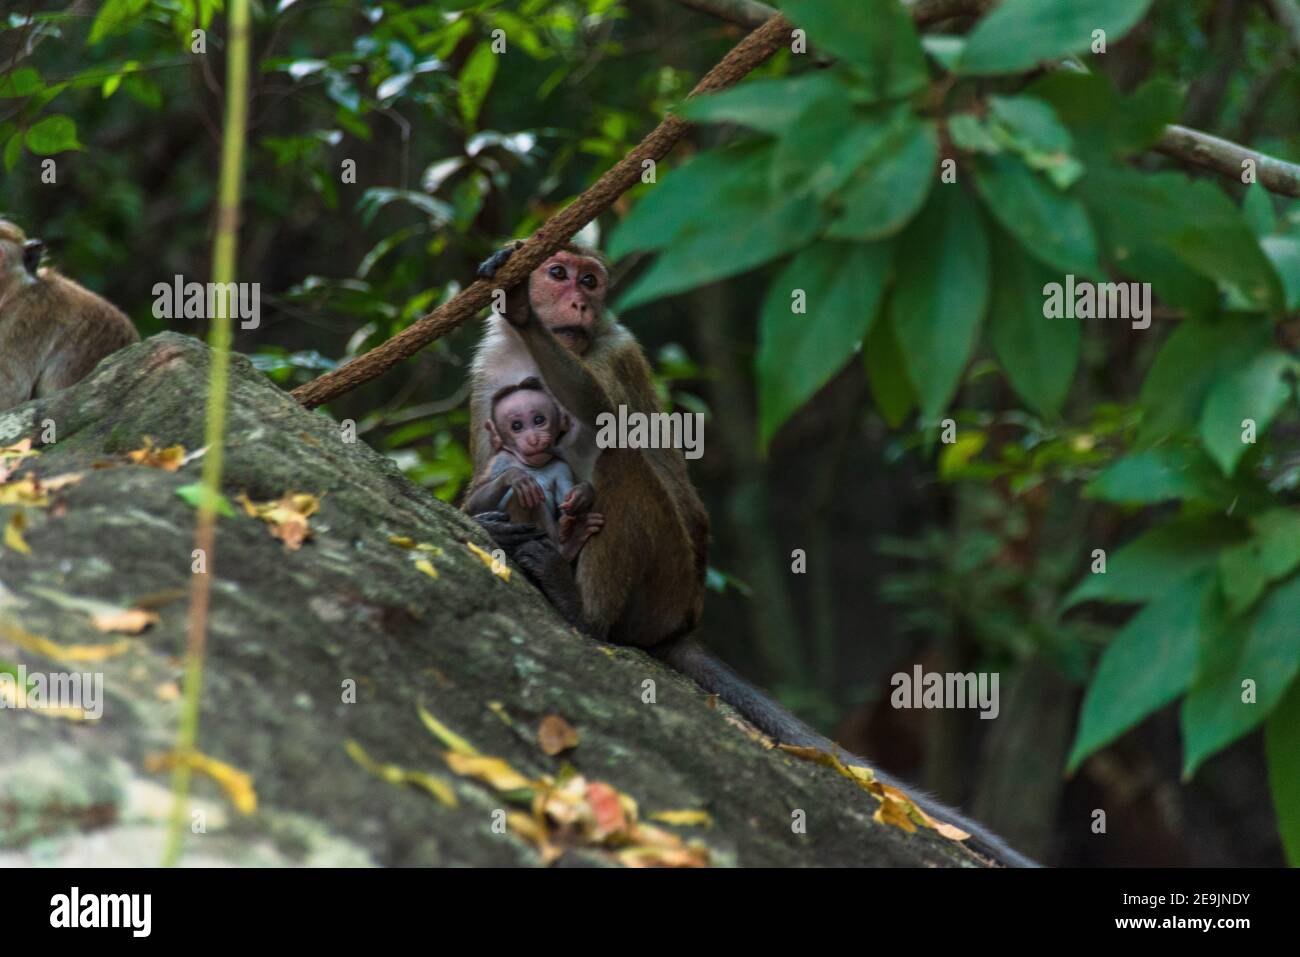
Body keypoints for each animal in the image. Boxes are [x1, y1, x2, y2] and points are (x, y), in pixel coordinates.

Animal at [462, 376, 605, 561]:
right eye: (516, 426)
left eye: (539, 420)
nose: (533, 439)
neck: (531, 466)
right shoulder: (498, 460)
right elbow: (472, 504)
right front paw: (515, 476)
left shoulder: (561, 467)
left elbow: (565, 498)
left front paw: (582, 493)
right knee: (524, 496)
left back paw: (569, 541)